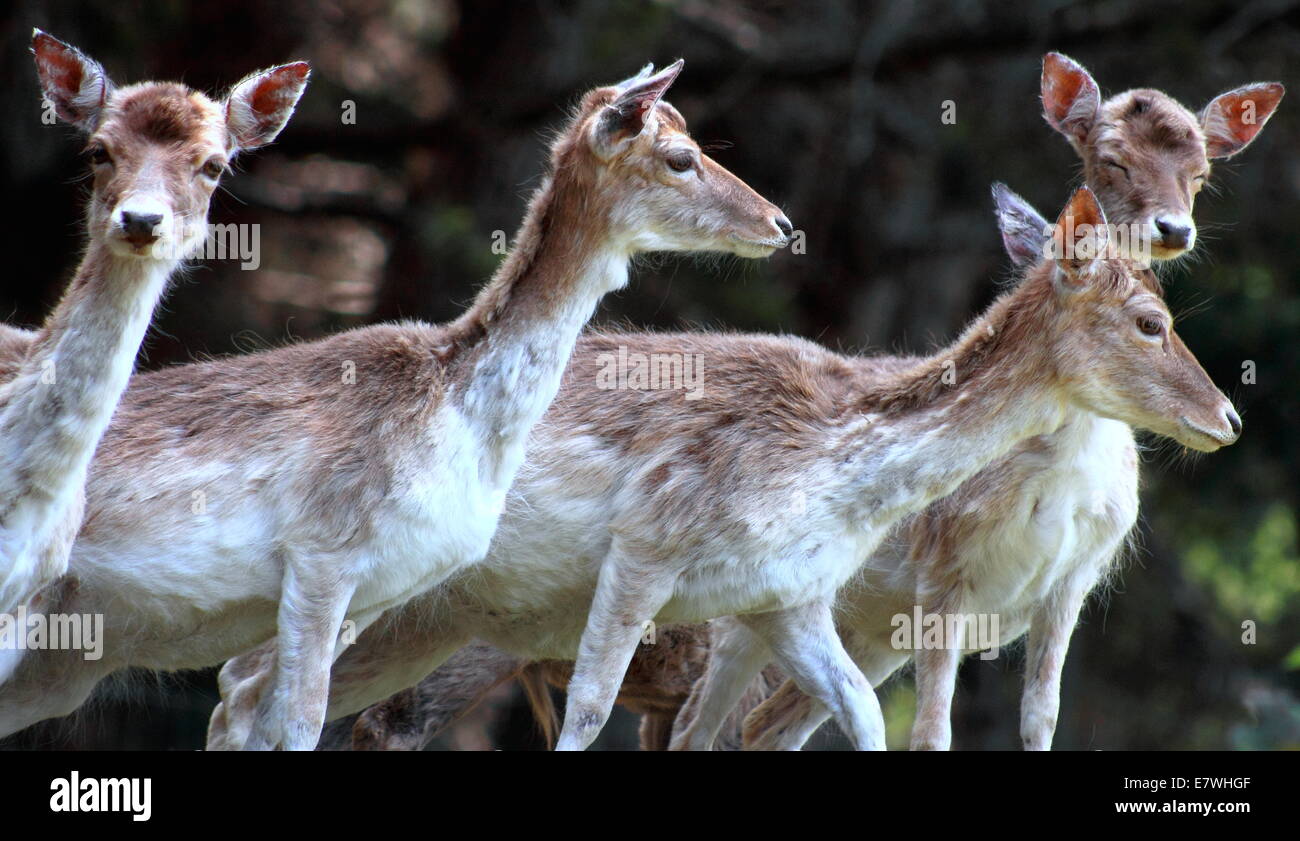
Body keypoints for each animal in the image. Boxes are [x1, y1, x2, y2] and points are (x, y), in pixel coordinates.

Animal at [309, 54, 1279, 752]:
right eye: (1152, 322)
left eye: (1202, 171)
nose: (1229, 419)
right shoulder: (900, 579)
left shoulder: (840, 599)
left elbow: (928, 723)